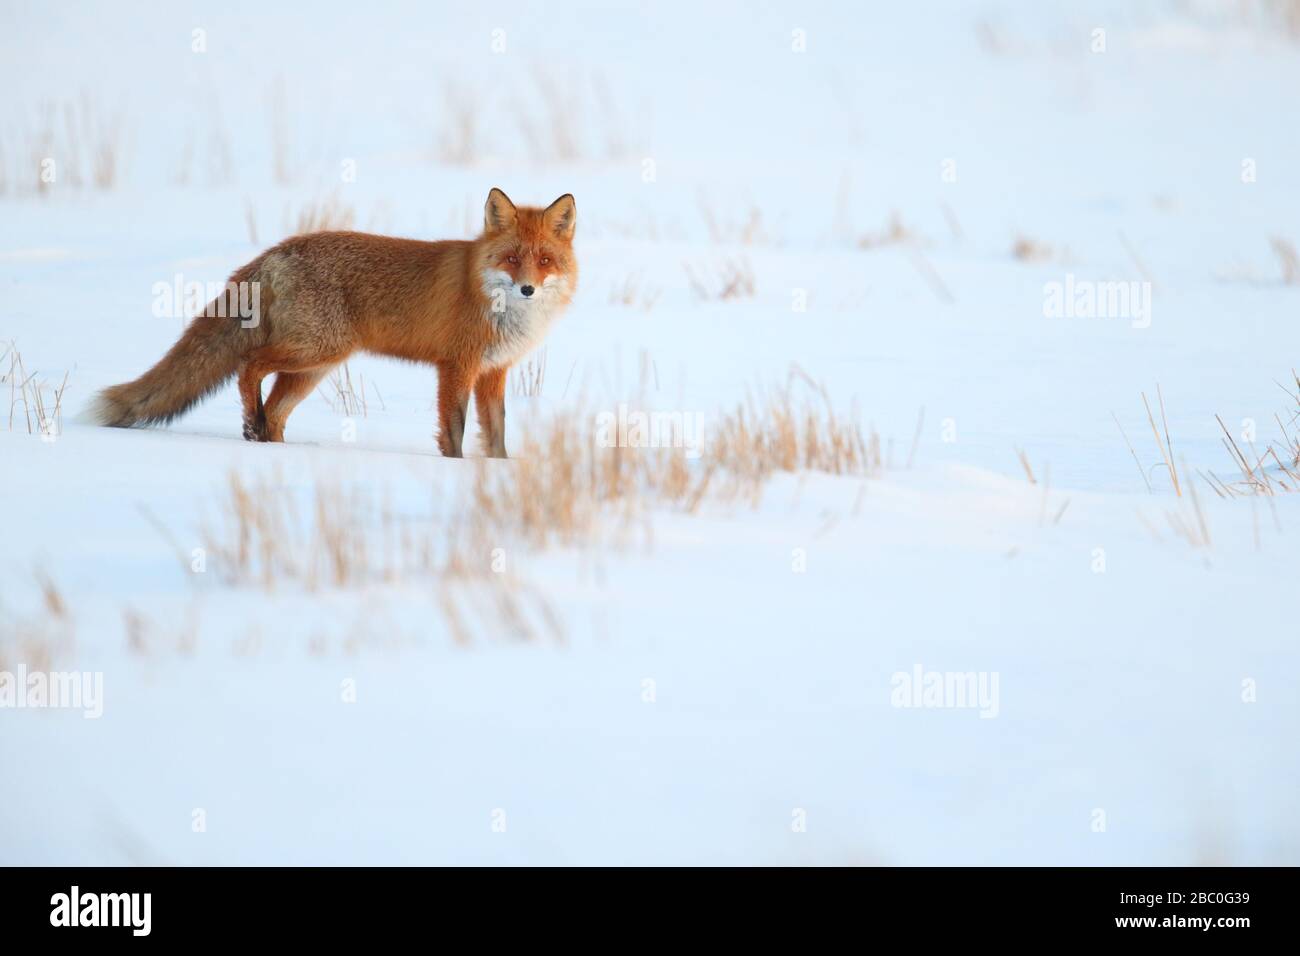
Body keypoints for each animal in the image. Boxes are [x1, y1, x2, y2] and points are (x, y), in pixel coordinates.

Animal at [89, 188, 577, 457]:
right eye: (511, 258)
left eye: (544, 261)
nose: (527, 290)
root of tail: (277, 250)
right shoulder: (456, 366)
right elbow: (454, 432)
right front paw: (454, 469)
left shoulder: (494, 372)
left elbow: (496, 437)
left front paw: (499, 472)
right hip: (317, 350)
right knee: (249, 365)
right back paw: (250, 423)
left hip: (313, 368)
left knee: (276, 412)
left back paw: (270, 446)